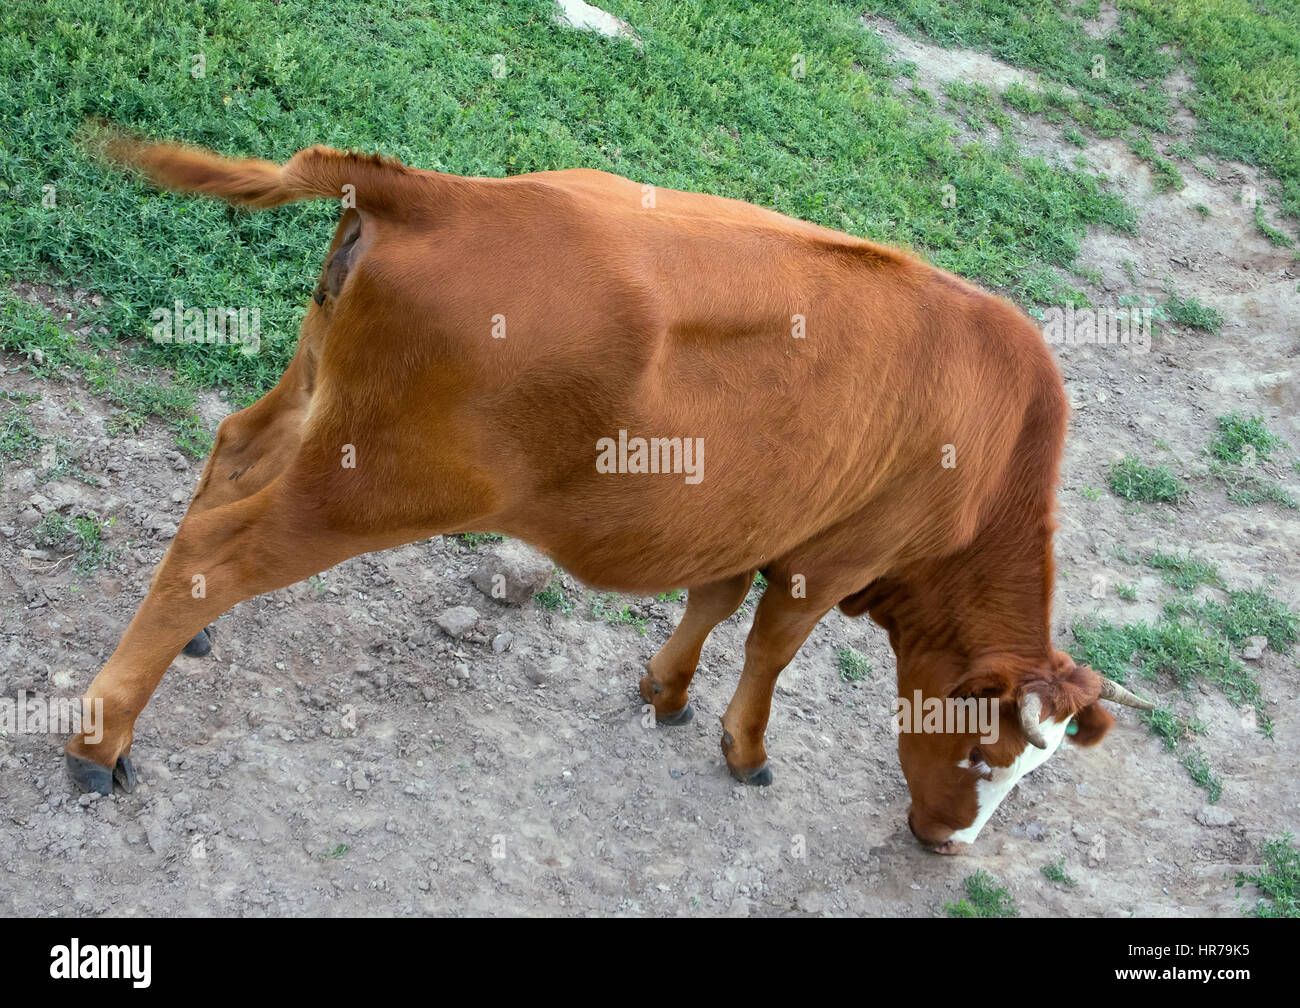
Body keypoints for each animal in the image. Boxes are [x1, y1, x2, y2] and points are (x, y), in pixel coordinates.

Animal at [63, 128, 1153, 852]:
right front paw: (742, 747)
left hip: (311, 405)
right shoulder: (836, 556)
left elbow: (713, 599)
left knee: (229, 457)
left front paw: (665, 690)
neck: (998, 443)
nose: (945, 843)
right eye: (982, 757)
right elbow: (769, 648)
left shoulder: (747, 516)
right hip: (370, 487)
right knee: (222, 548)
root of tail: (453, 194)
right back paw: (98, 739)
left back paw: (191, 637)